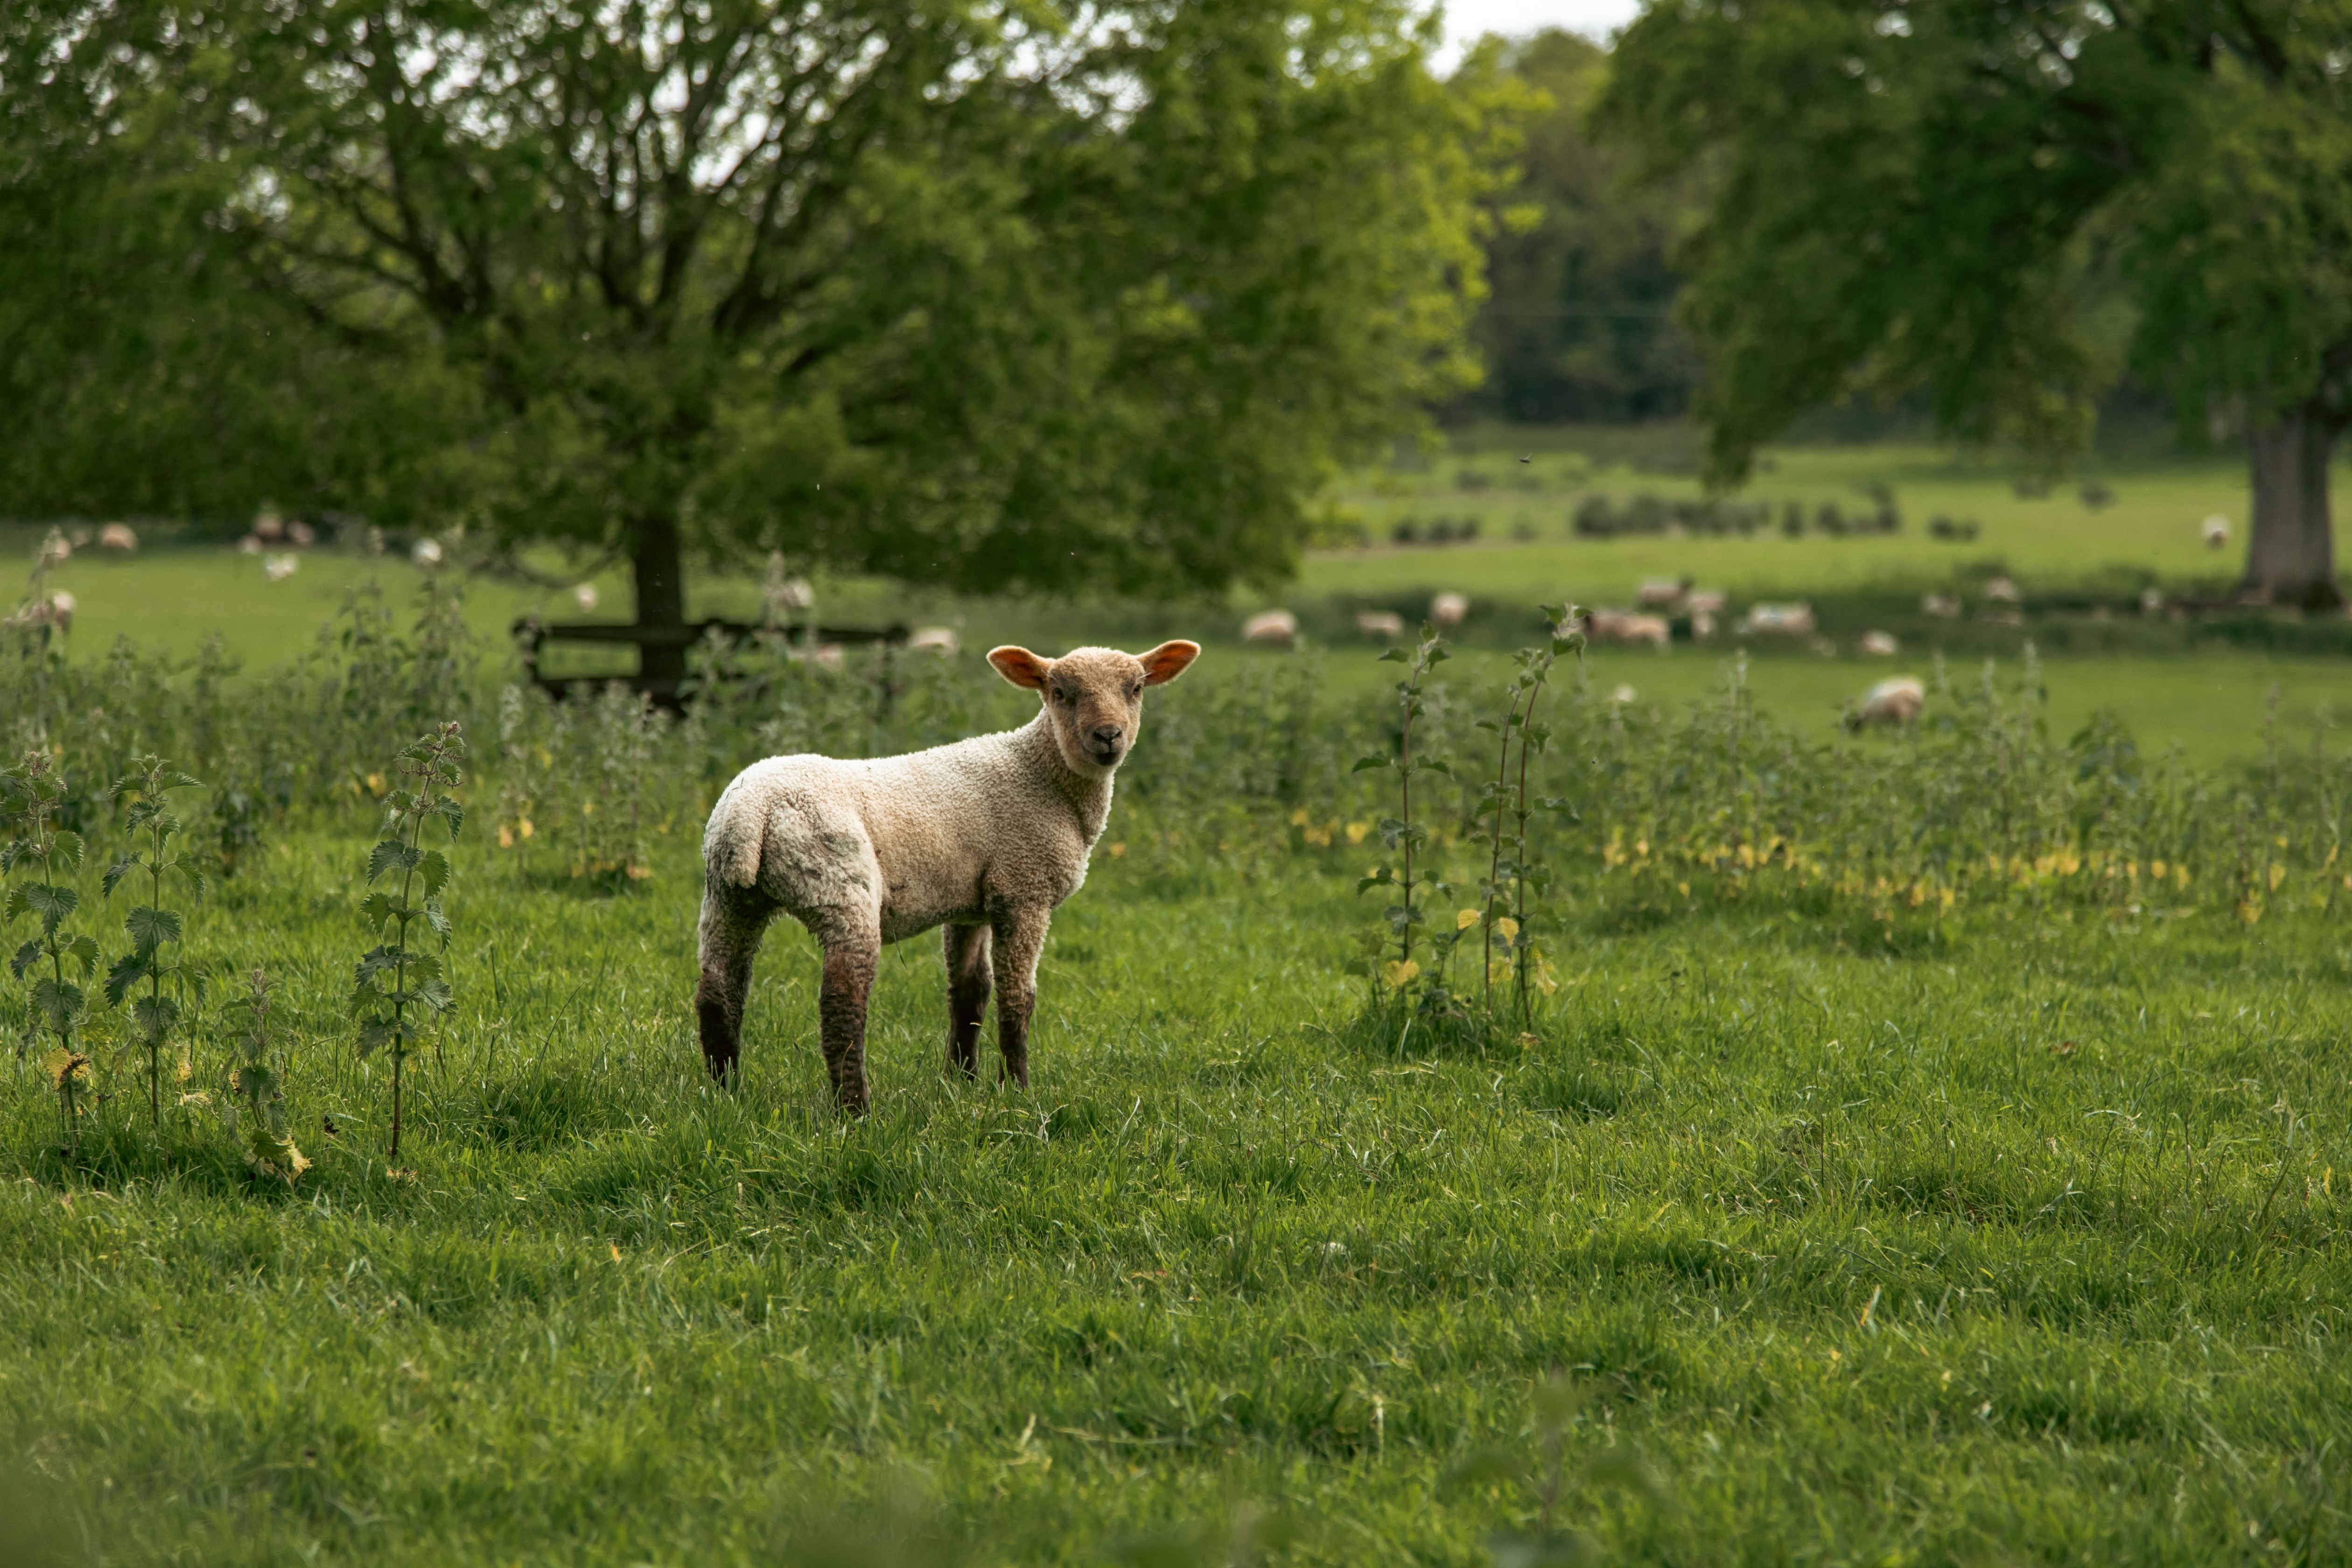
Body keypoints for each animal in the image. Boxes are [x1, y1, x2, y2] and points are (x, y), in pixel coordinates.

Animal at [694, 640, 1201, 1109]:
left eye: (1136, 689)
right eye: (1060, 693)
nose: (1108, 736)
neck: (1042, 774)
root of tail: (752, 810)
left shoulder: (971, 904)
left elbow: (970, 993)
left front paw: (961, 1082)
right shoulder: (1024, 889)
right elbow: (1017, 999)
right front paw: (1016, 1092)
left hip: (729, 896)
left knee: (718, 992)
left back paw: (725, 1093)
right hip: (836, 883)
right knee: (841, 1003)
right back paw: (855, 1112)